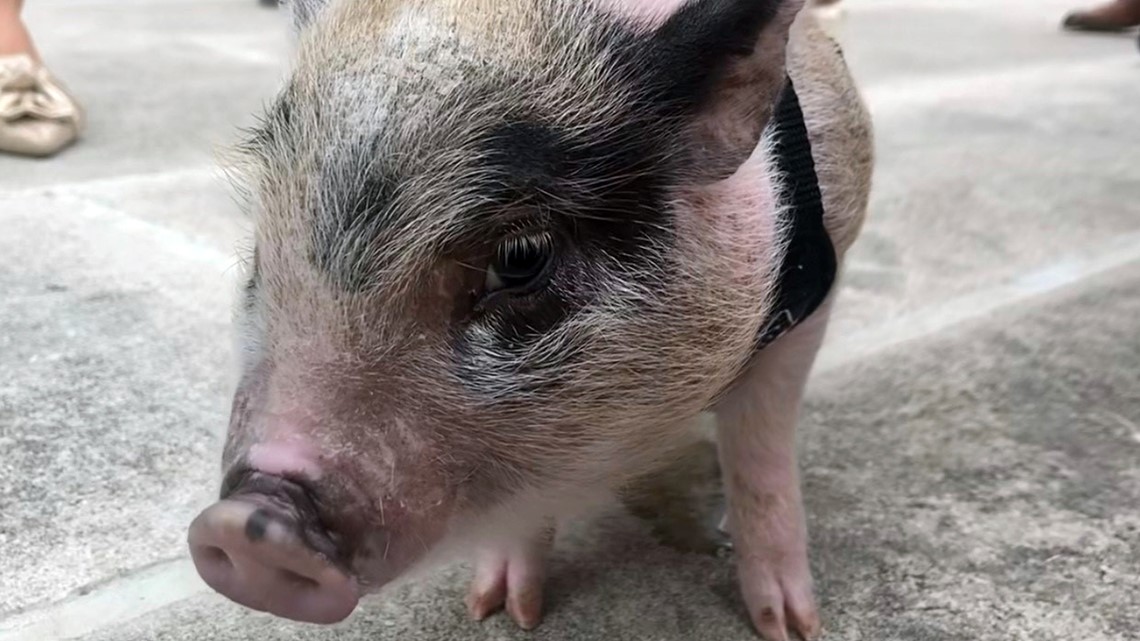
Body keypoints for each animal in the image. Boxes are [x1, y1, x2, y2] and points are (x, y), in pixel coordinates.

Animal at [186, 0, 873, 639]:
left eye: (521, 258)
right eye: (263, 247)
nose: (246, 525)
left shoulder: (811, 302)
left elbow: (760, 456)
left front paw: (791, 628)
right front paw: (500, 611)